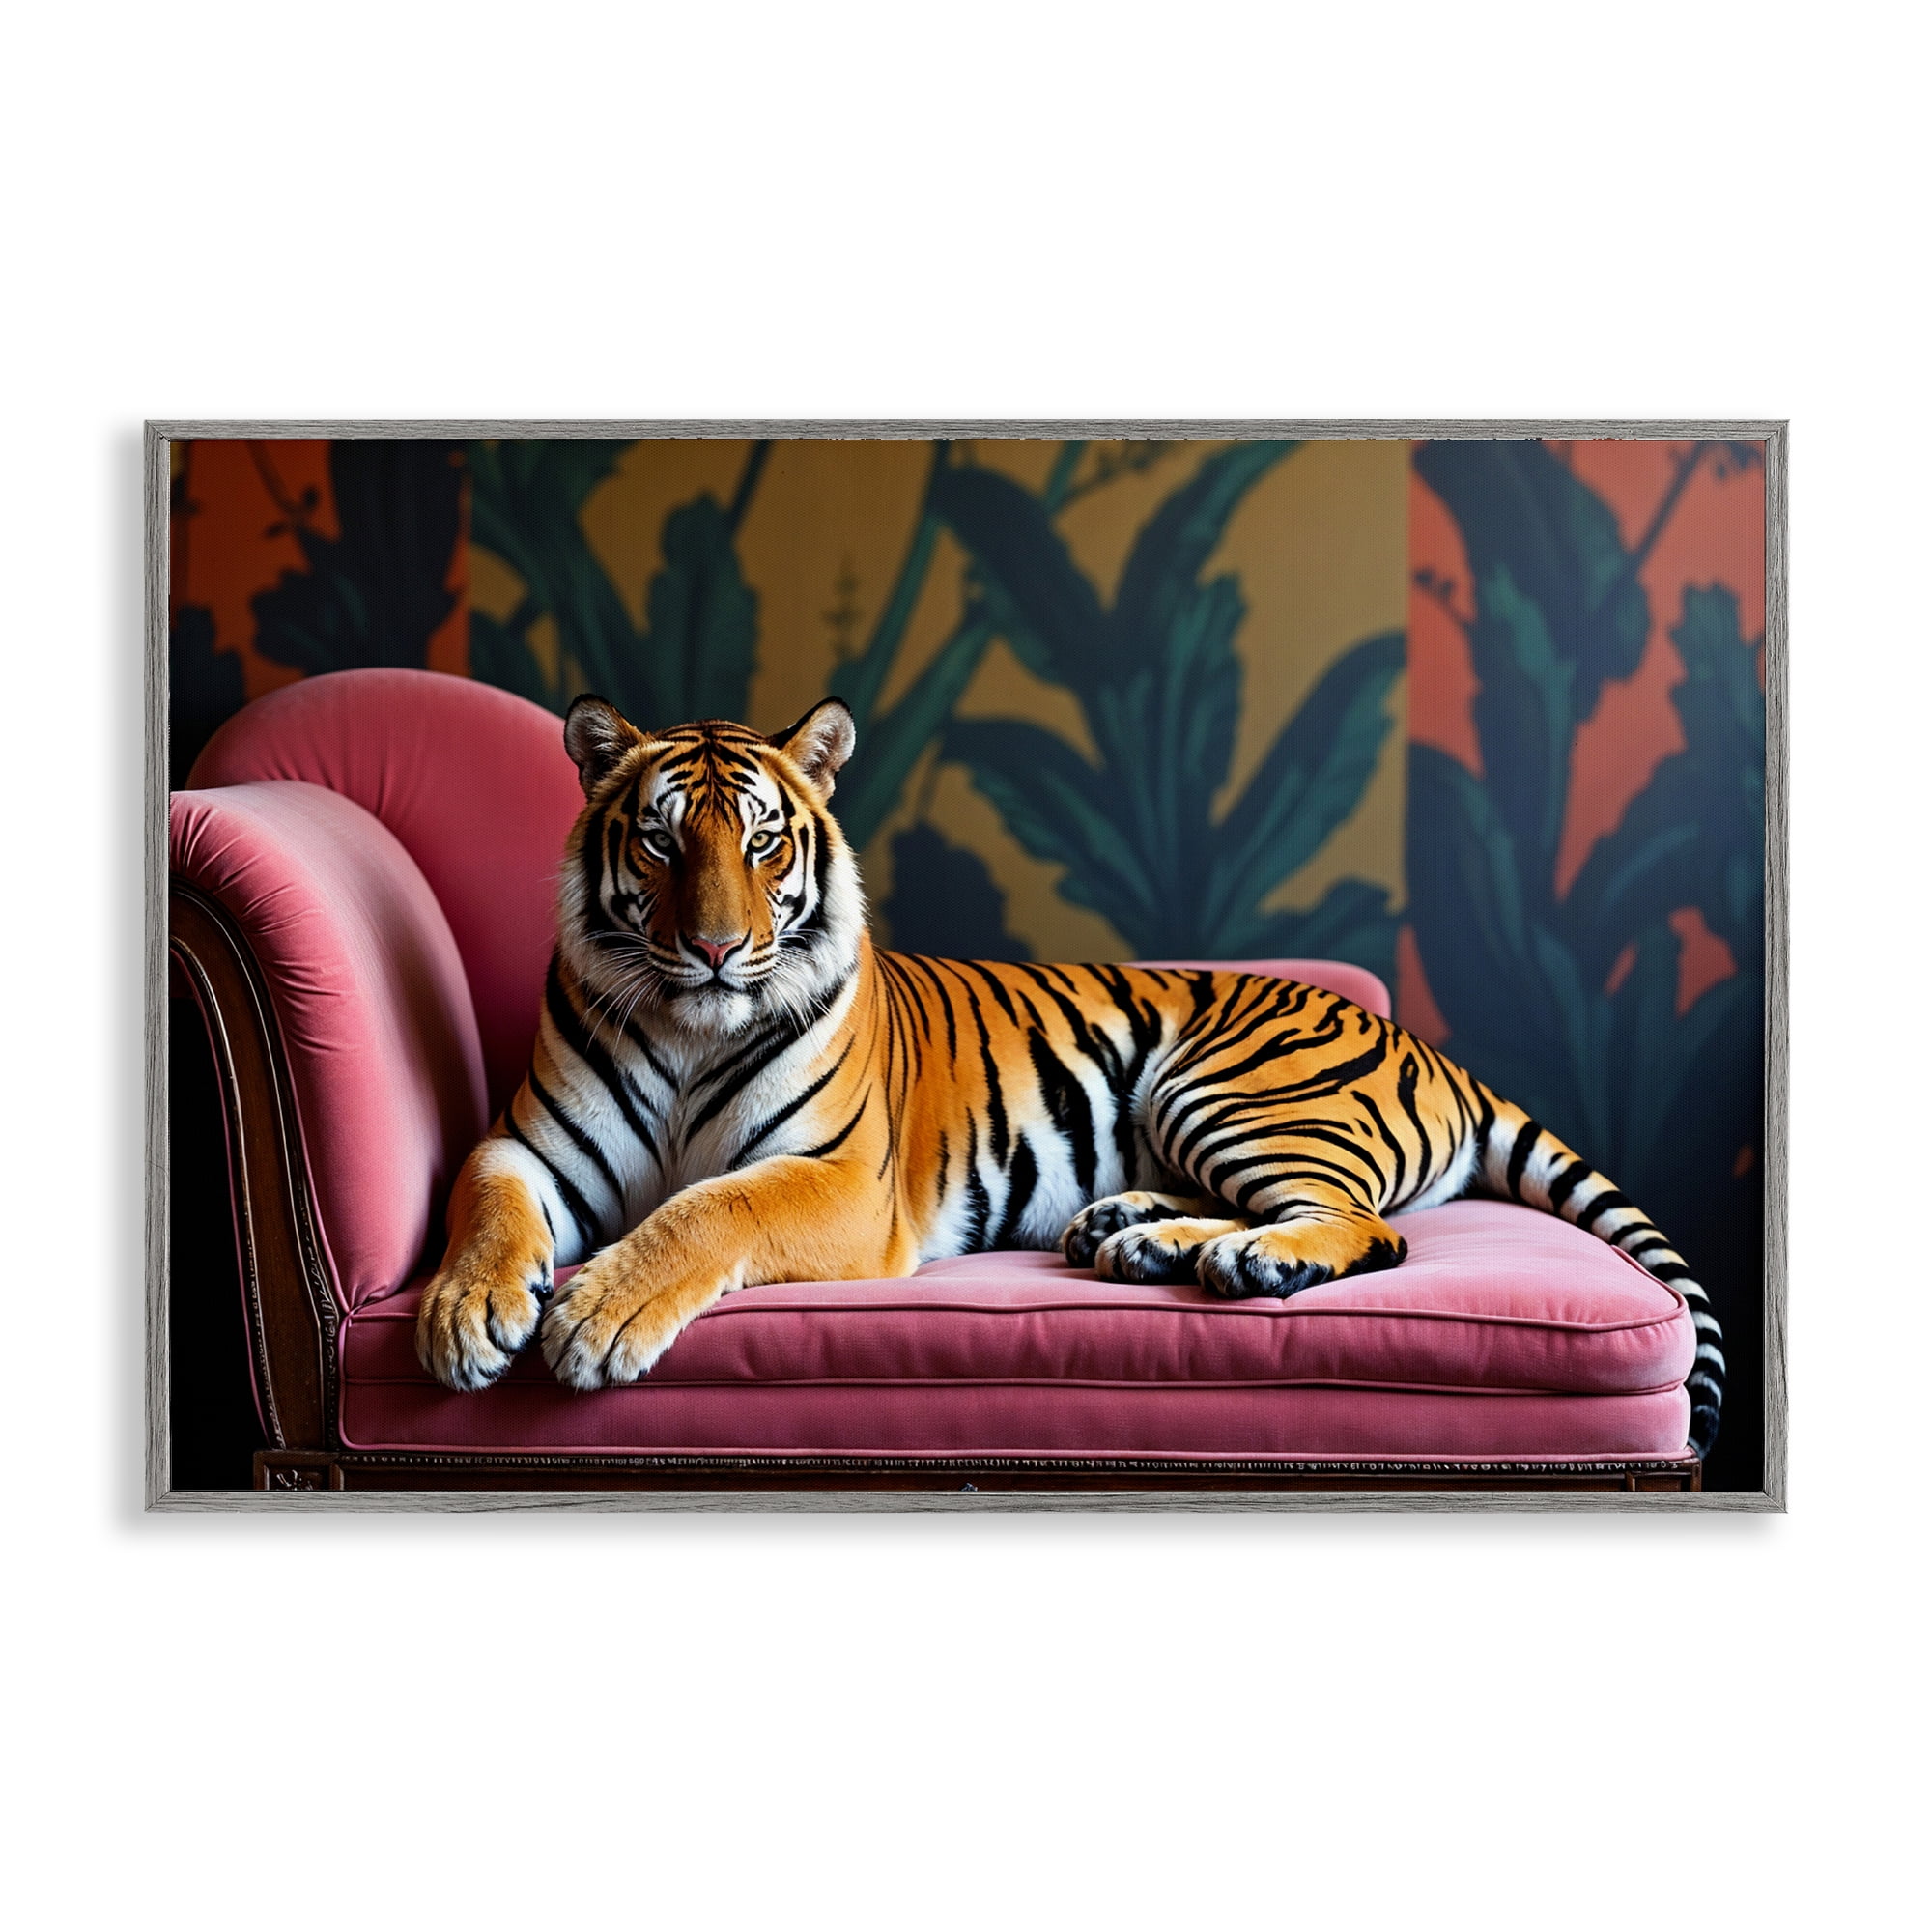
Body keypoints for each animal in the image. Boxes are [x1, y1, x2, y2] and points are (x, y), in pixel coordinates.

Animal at [415, 693, 1727, 1459]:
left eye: (763, 841)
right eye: (657, 839)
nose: (713, 948)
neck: (687, 1028)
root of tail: (1421, 1039)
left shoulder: (835, 1178)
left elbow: (706, 1208)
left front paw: (594, 1317)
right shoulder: (527, 1144)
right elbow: (483, 1202)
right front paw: (461, 1314)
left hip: (1223, 1086)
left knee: (1367, 1224)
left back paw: (1245, 1259)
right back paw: (1136, 1233)